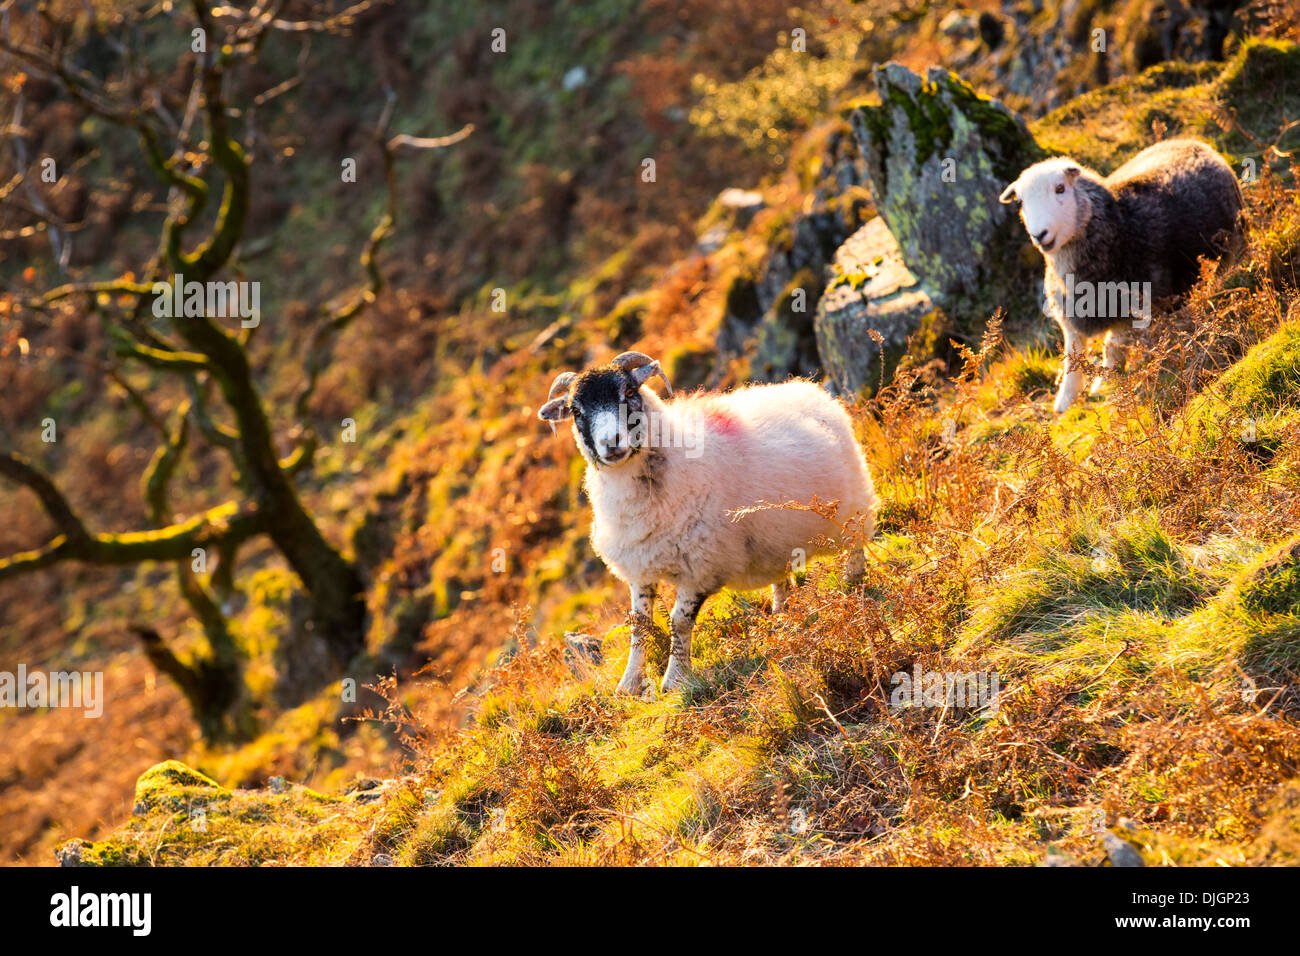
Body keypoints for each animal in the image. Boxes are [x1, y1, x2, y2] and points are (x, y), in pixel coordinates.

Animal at [537, 351, 878, 695]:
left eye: (629, 392)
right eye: (576, 410)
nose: (611, 442)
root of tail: (808, 389)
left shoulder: (700, 566)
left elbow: (679, 621)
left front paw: (675, 680)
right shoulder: (640, 566)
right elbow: (639, 625)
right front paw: (629, 684)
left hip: (852, 504)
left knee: (856, 543)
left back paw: (853, 583)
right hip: (775, 539)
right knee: (781, 577)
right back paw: (782, 615)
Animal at [999, 139, 1245, 413]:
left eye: (1060, 188)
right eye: (1020, 202)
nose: (1039, 235)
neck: (1119, 231)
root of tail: (1197, 144)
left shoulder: (1135, 308)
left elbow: (1112, 347)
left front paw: (1104, 384)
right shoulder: (1069, 315)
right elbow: (1072, 357)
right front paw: (1064, 401)